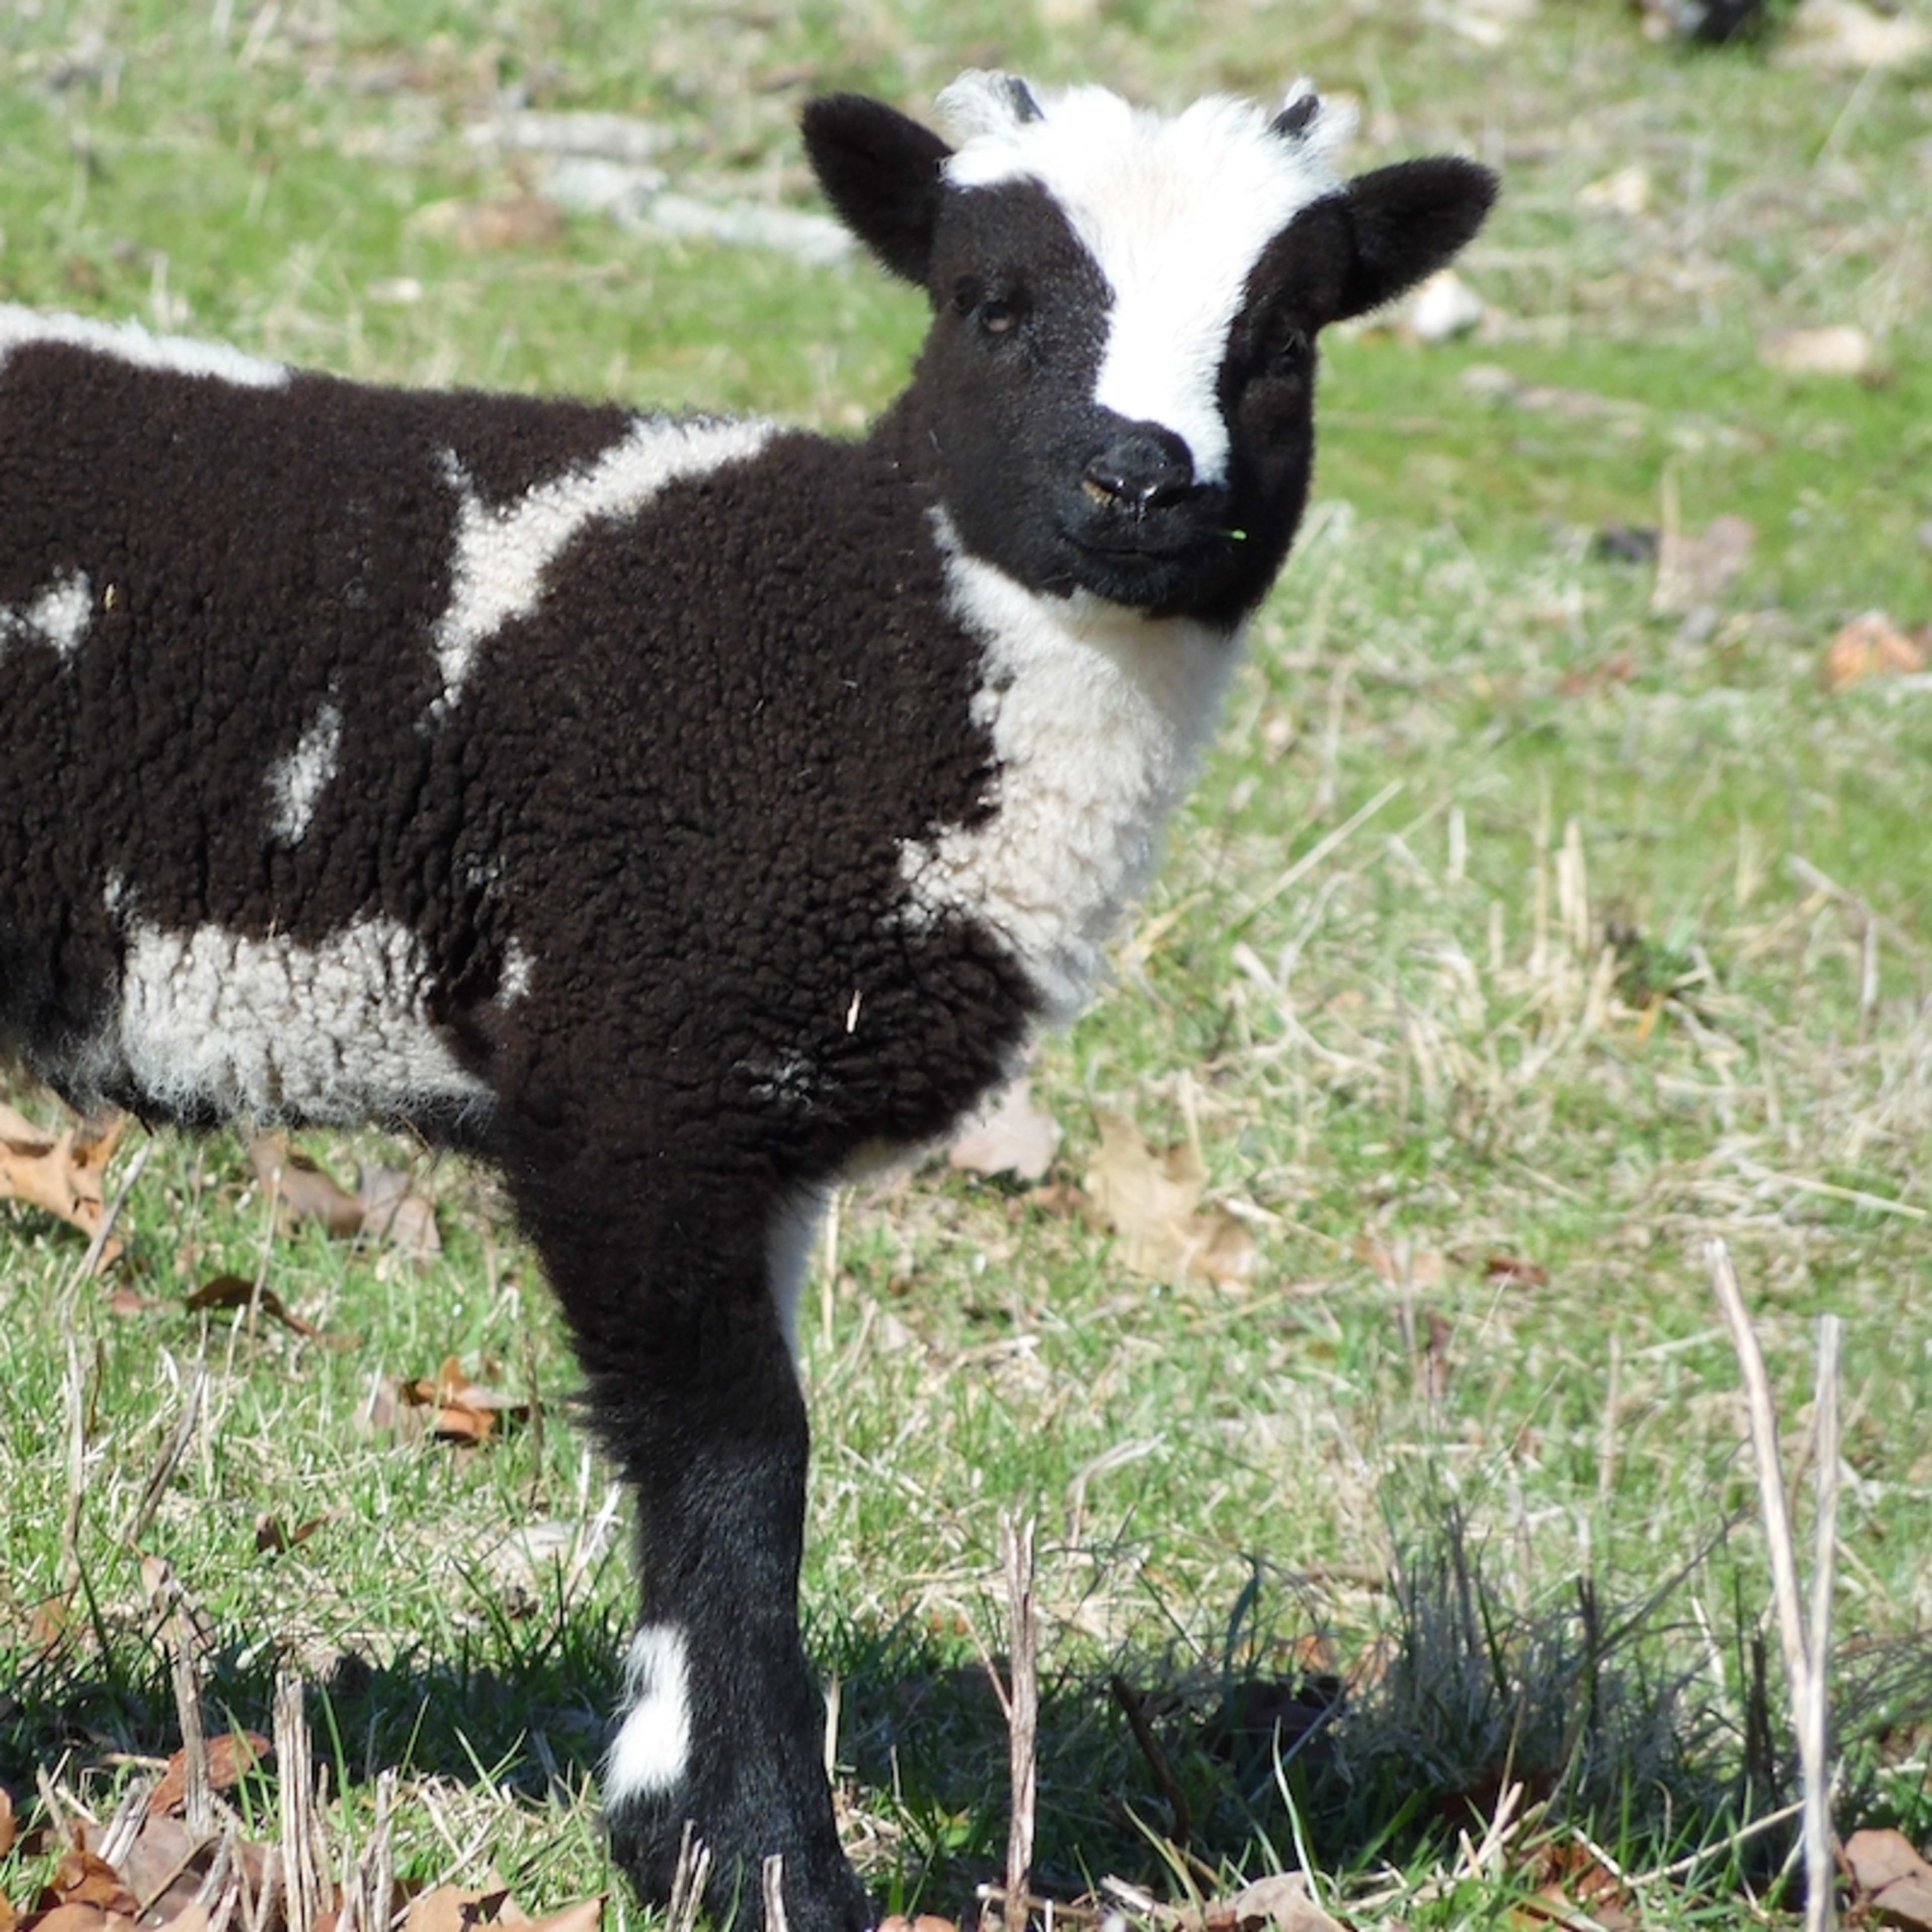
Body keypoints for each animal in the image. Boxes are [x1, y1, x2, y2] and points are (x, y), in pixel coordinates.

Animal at [0, 72, 1494, 1930]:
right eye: (992, 307)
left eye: (1287, 339)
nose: (1140, 480)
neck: (878, 651)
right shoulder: (639, 1073)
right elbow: (735, 1461)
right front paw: (779, 1855)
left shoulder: (755, 1126)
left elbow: (724, 1460)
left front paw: (679, 1822)